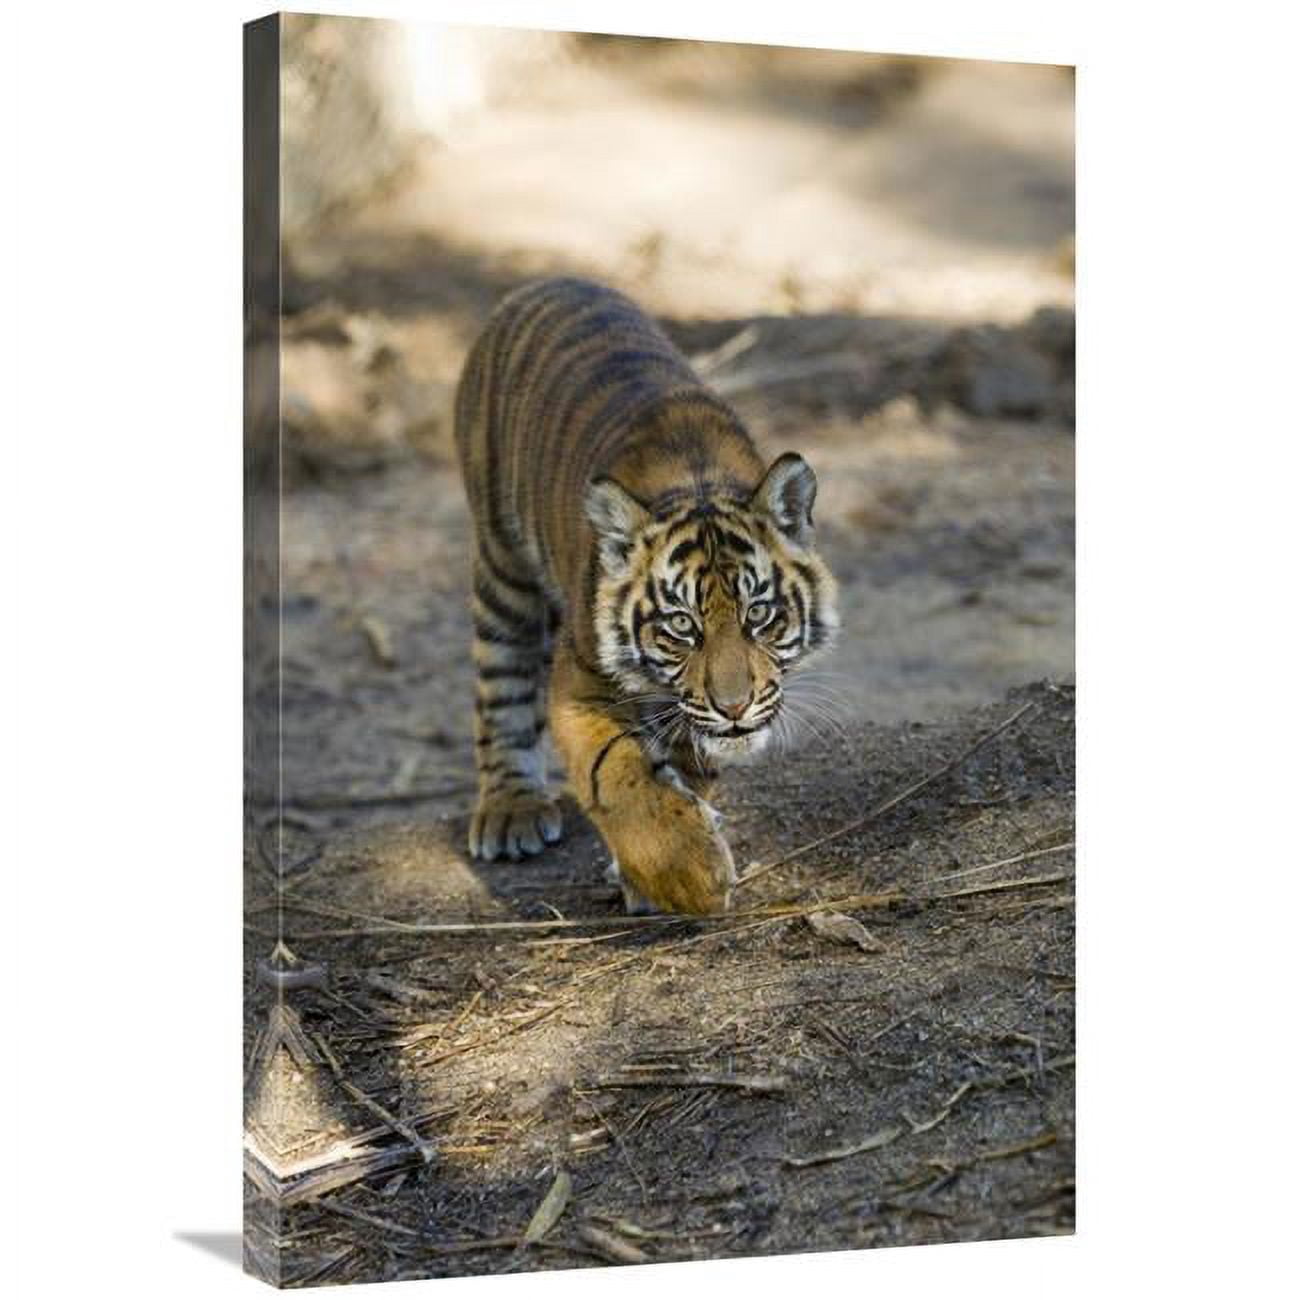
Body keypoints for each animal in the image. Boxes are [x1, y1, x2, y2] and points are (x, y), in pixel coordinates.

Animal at [454, 276, 838, 915]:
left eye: (760, 614)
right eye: (681, 625)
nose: (734, 708)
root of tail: (547, 282)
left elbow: (682, 769)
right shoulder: (580, 686)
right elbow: (620, 778)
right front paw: (688, 874)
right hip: (501, 564)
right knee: (499, 684)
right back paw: (512, 811)